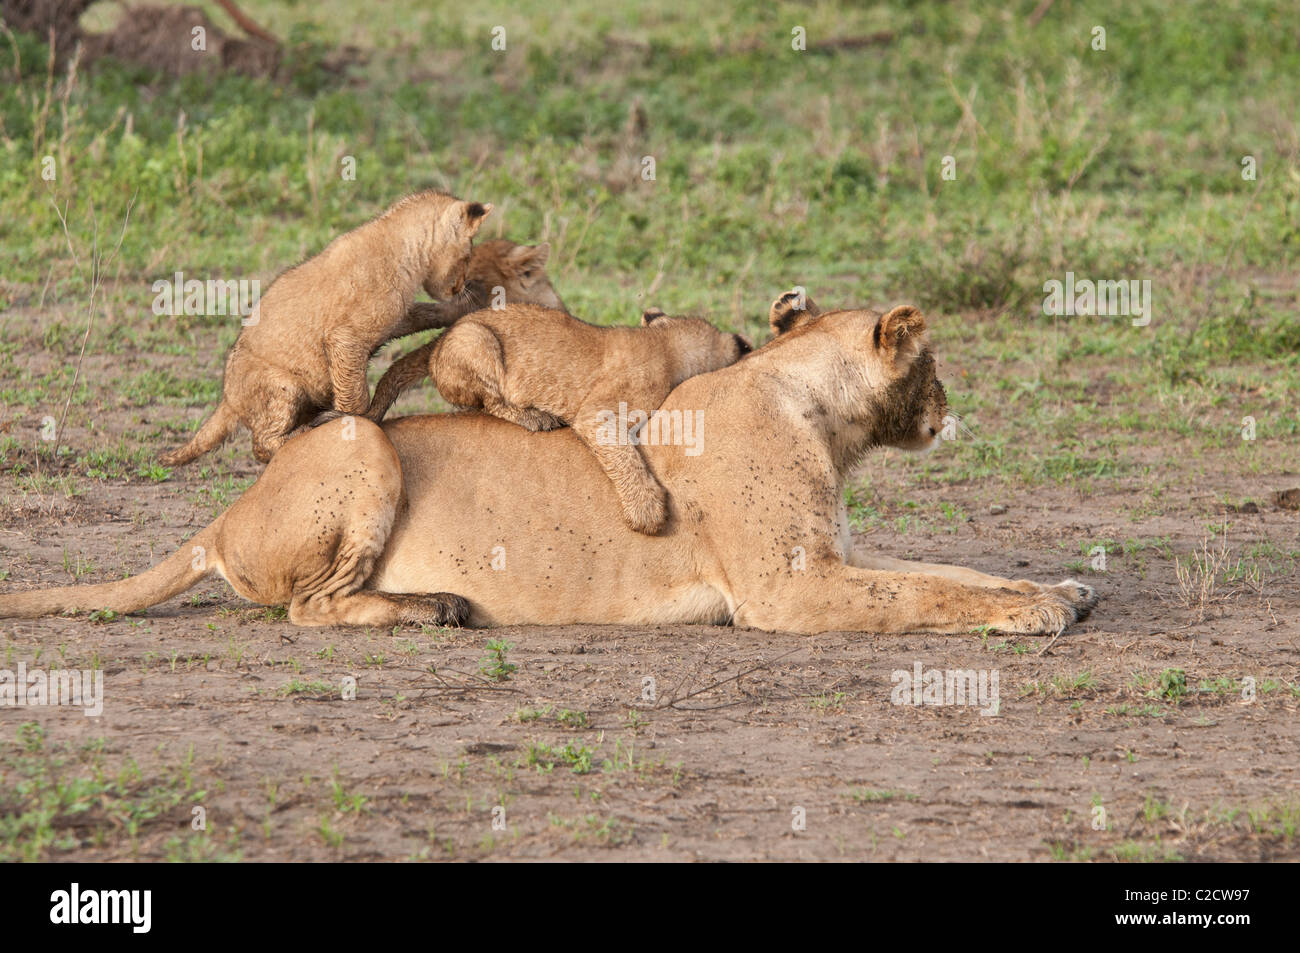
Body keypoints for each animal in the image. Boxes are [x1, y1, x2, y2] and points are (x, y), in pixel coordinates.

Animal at [0, 293, 1097, 635]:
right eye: (935, 364)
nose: (951, 409)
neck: (814, 408)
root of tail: (223, 516)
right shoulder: (790, 587)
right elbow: (925, 593)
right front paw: (1034, 613)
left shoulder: (833, 557)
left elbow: (948, 569)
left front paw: (1061, 588)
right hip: (360, 442)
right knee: (311, 608)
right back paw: (430, 609)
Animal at [159, 190, 493, 467]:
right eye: (467, 256)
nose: (460, 286)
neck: (404, 246)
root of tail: (227, 400)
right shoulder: (345, 337)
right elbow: (355, 398)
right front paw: (346, 424)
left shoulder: (391, 318)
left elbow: (424, 312)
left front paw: (470, 304)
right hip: (283, 386)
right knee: (261, 444)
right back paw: (301, 434)